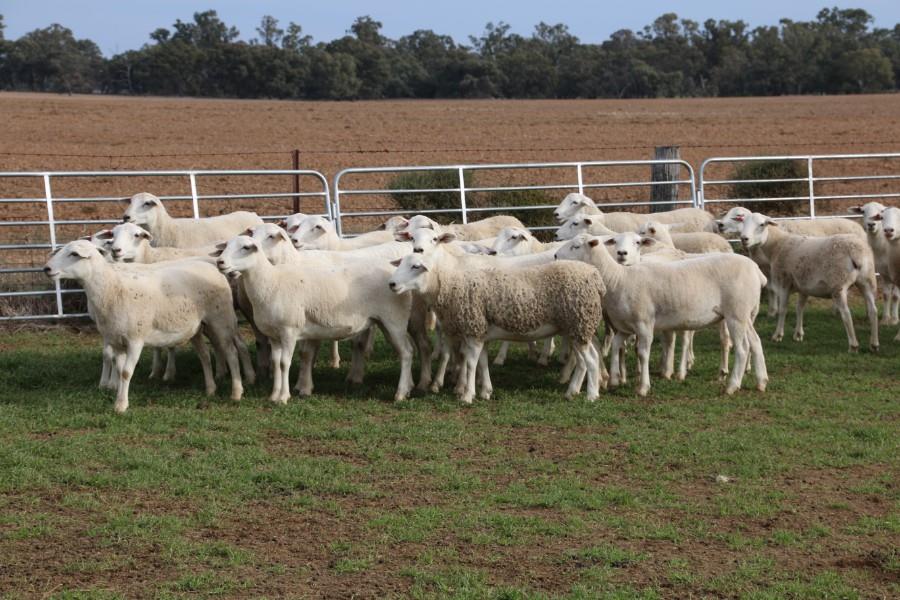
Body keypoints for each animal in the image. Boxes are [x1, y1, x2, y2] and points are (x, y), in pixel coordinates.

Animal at [44, 241, 246, 413]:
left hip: (220, 320)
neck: (111, 289)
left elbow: (126, 372)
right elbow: (119, 369)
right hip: (195, 328)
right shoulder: (116, 340)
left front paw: (121, 405)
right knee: (204, 355)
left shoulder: (135, 339)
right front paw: (117, 395)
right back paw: (210, 389)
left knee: (231, 353)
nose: (46, 268)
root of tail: (211, 267)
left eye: (74, 254)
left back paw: (236, 393)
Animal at [214, 235, 416, 404]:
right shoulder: (274, 335)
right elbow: (275, 363)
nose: (220, 262)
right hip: (384, 322)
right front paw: (273, 395)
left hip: (395, 320)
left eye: (245, 247)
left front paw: (283, 397)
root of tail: (395, 274)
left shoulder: (289, 331)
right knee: (406, 351)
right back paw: (407, 389)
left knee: (406, 353)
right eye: (226, 245)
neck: (271, 283)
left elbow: (284, 363)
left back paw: (399, 394)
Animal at [388, 248, 605, 404]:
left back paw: (591, 396)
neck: (449, 283)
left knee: (592, 360)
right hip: (577, 328)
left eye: (416, 266)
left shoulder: (473, 329)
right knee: (583, 361)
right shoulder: (481, 332)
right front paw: (486, 392)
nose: (391, 284)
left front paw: (467, 396)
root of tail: (595, 276)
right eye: (401, 264)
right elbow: (482, 363)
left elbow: (470, 363)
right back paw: (572, 392)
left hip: (579, 323)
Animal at [555, 234, 768, 396]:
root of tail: (756, 271)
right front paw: (615, 379)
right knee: (756, 342)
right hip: (746, 314)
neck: (618, 279)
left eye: (576, 246)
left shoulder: (644, 323)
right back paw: (761, 381)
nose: (556, 255)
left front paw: (643, 387)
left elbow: (643, 354)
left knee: (742, 348)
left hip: (736, 313)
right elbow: (616, 346)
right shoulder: (625, 326)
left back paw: (732, 385)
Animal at [738, 212, 879, 352]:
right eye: (743, 222)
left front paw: (778, 335)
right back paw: (874, 344)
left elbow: (783, 309)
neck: (777, 245)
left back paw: (853, 345)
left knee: (846, 314)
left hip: (838, 284)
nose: (744, 239)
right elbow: (800, 308)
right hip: (867, 281)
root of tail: (856, 252)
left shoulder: (784, 282)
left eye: (762, 224)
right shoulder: (804, 285)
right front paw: (798, 334)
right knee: (873, 310)